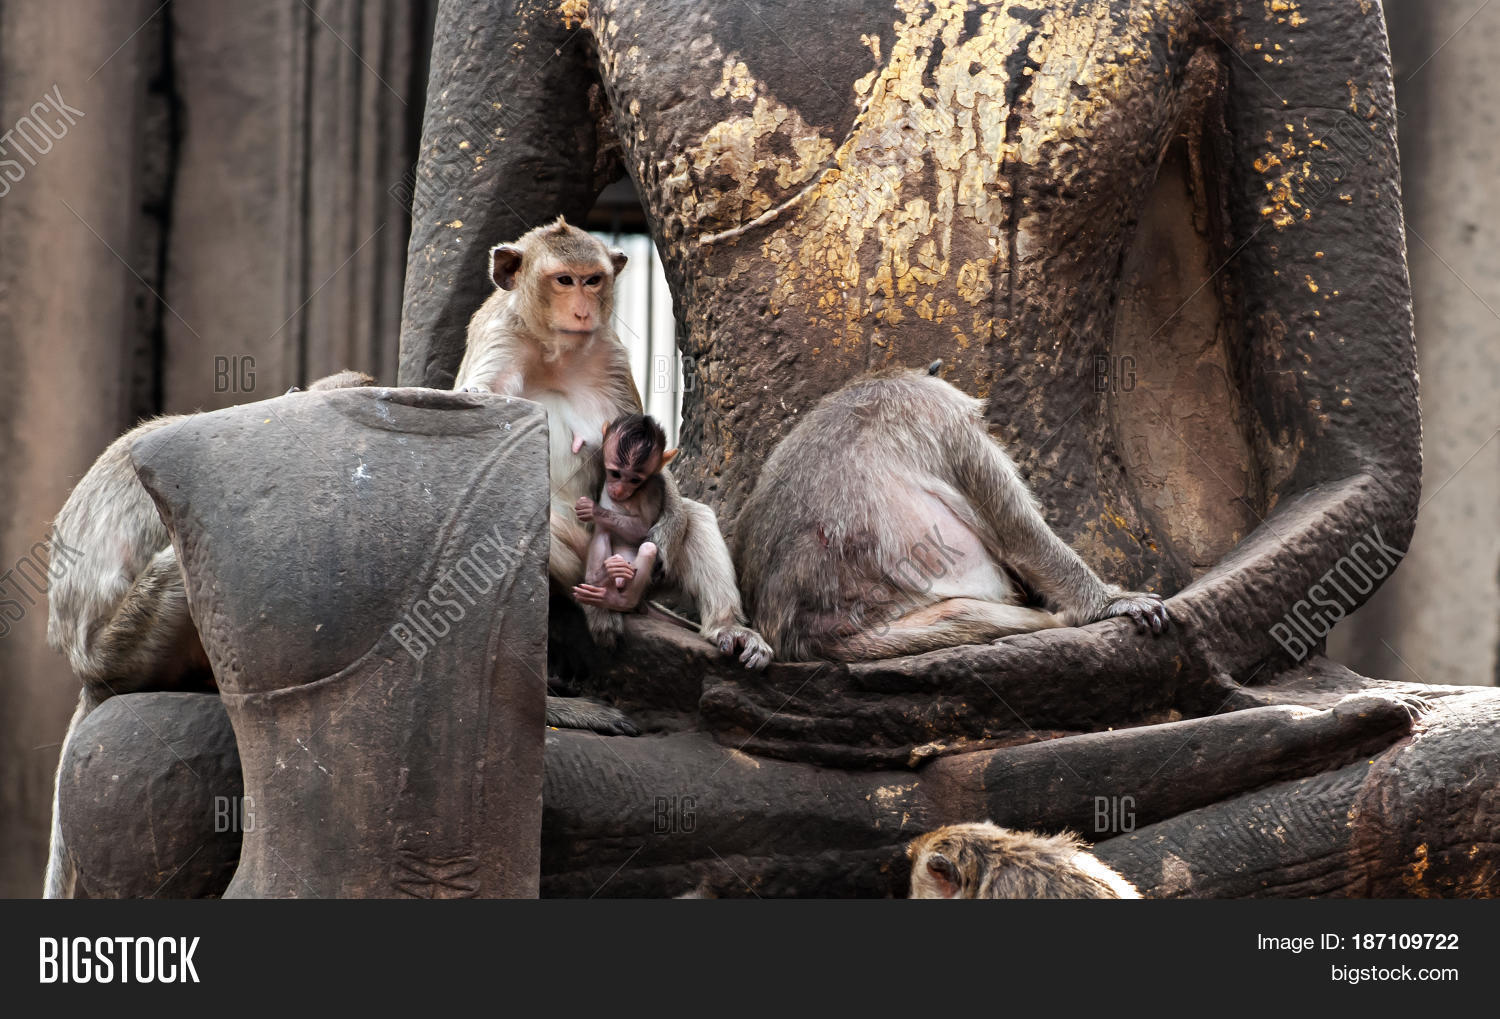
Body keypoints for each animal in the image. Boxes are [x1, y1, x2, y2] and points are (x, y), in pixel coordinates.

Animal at [453, 216, 771, 670]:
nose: (583, 310)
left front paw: (668, 528)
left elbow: (648, 452)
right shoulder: (499, 339)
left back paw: (724, 625)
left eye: (593, 280)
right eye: (564, 280)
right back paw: (599, 604)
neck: (554, 349)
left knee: (695, 516)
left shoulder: (609, 354)